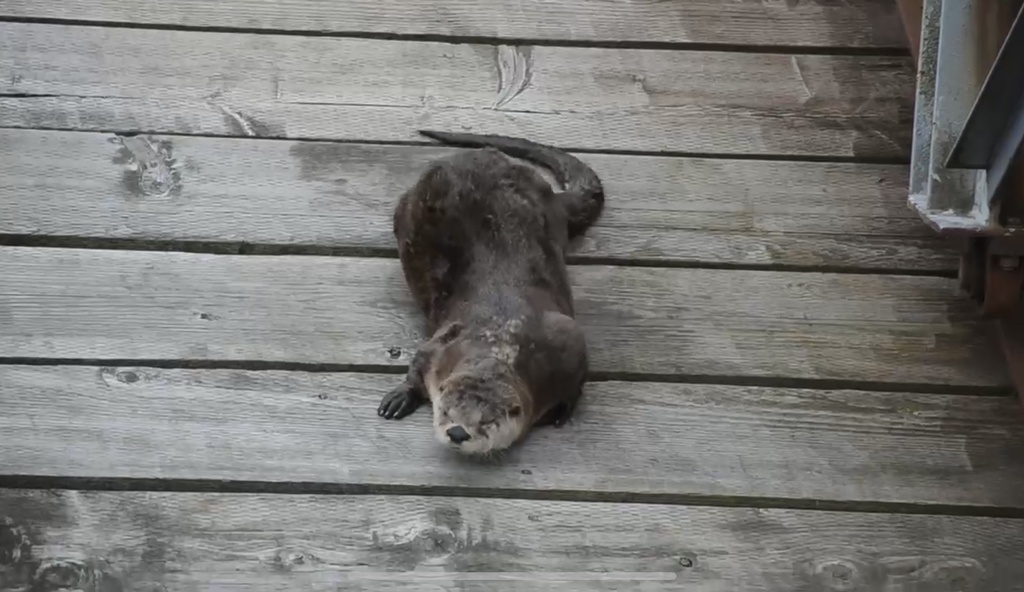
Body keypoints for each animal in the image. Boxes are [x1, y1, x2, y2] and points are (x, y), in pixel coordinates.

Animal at [376, 130, 605, 455]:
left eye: (487, 421)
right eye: (446, 410)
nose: (458, 432)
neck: (500, 341)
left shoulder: (566, 346)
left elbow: (577, 383)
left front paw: (563, 410)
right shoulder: (442, 347)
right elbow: (418, 363)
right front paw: (400, 397)